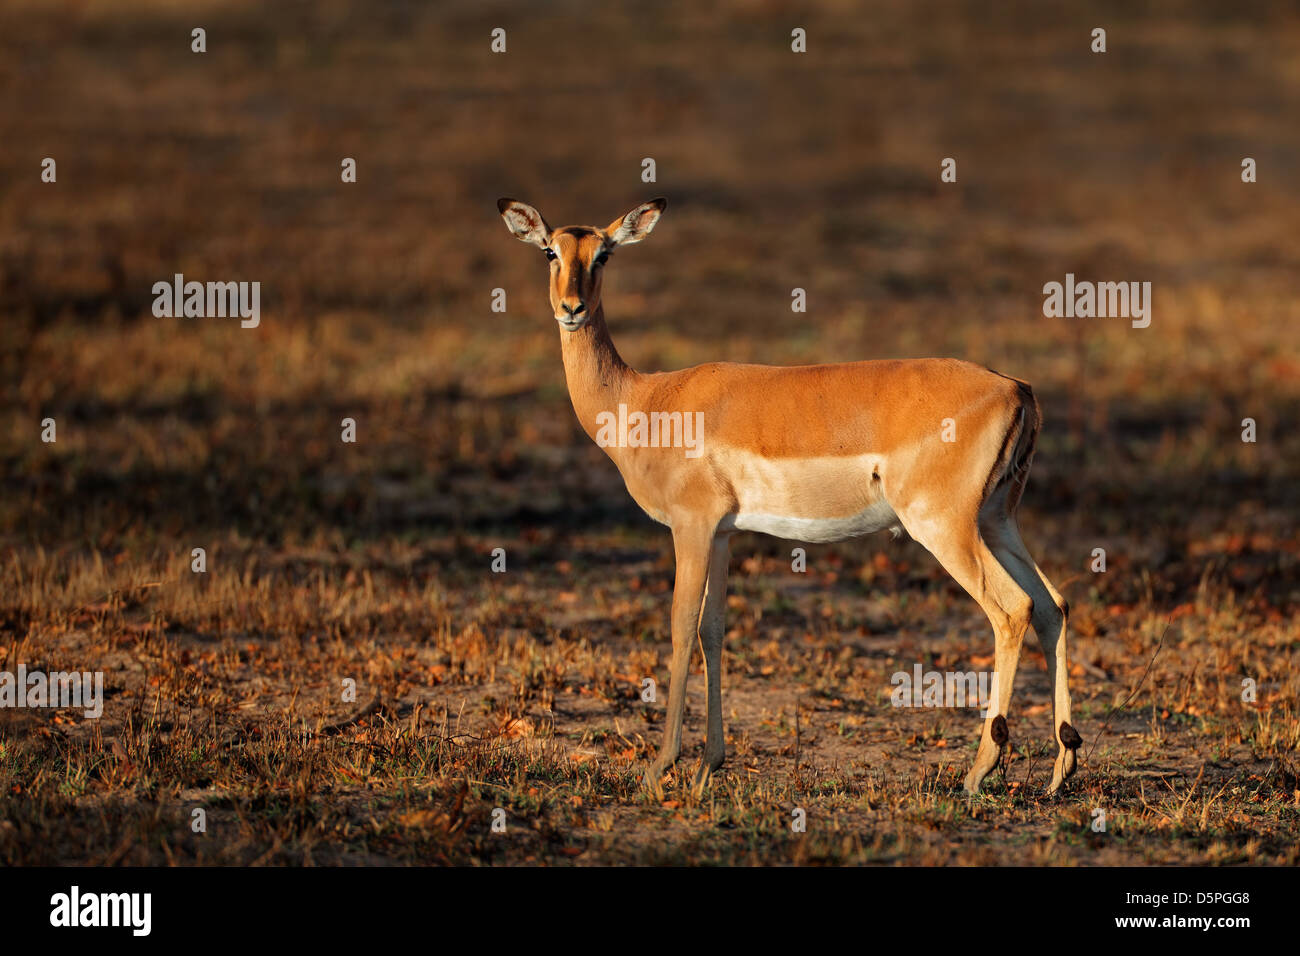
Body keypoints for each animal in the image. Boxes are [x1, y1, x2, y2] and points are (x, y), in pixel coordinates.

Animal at [497, 197, 1082, 797]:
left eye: (604, 255)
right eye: (551, 252)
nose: (571, 308)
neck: (646, 400)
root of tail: (1016, 388)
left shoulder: (691, 525)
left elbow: (680, 627)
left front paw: (660, 768)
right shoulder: (723, 533)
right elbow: (712, 630)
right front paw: (708, 767)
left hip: (944, 528)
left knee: (1013, 610)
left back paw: (979, 769)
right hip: (996, 522)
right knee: (1053, 605)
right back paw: (1062, 767)